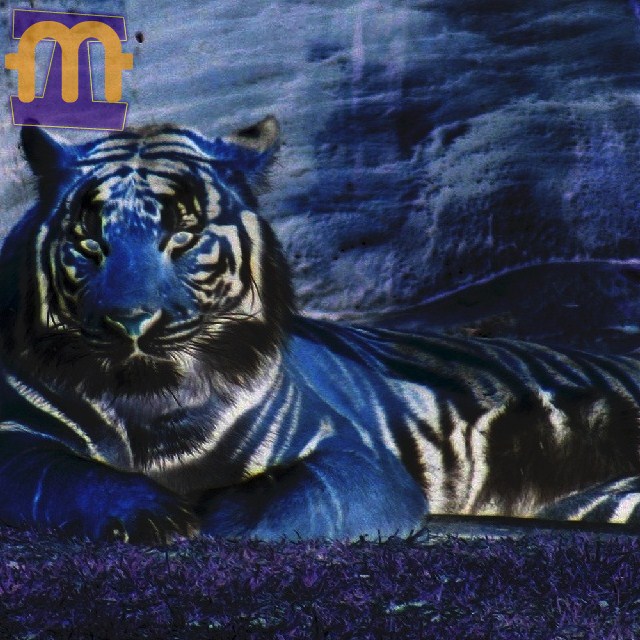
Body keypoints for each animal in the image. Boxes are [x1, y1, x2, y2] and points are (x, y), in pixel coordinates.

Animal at [1, 115, 640, 544]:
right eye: (90, 245)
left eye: (180, 238)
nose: (130, 322)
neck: (151, 411)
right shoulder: (16, 439)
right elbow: (68, 476)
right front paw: (150, 515)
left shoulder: (353, 457)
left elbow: (297, 495)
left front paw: (218, 517)